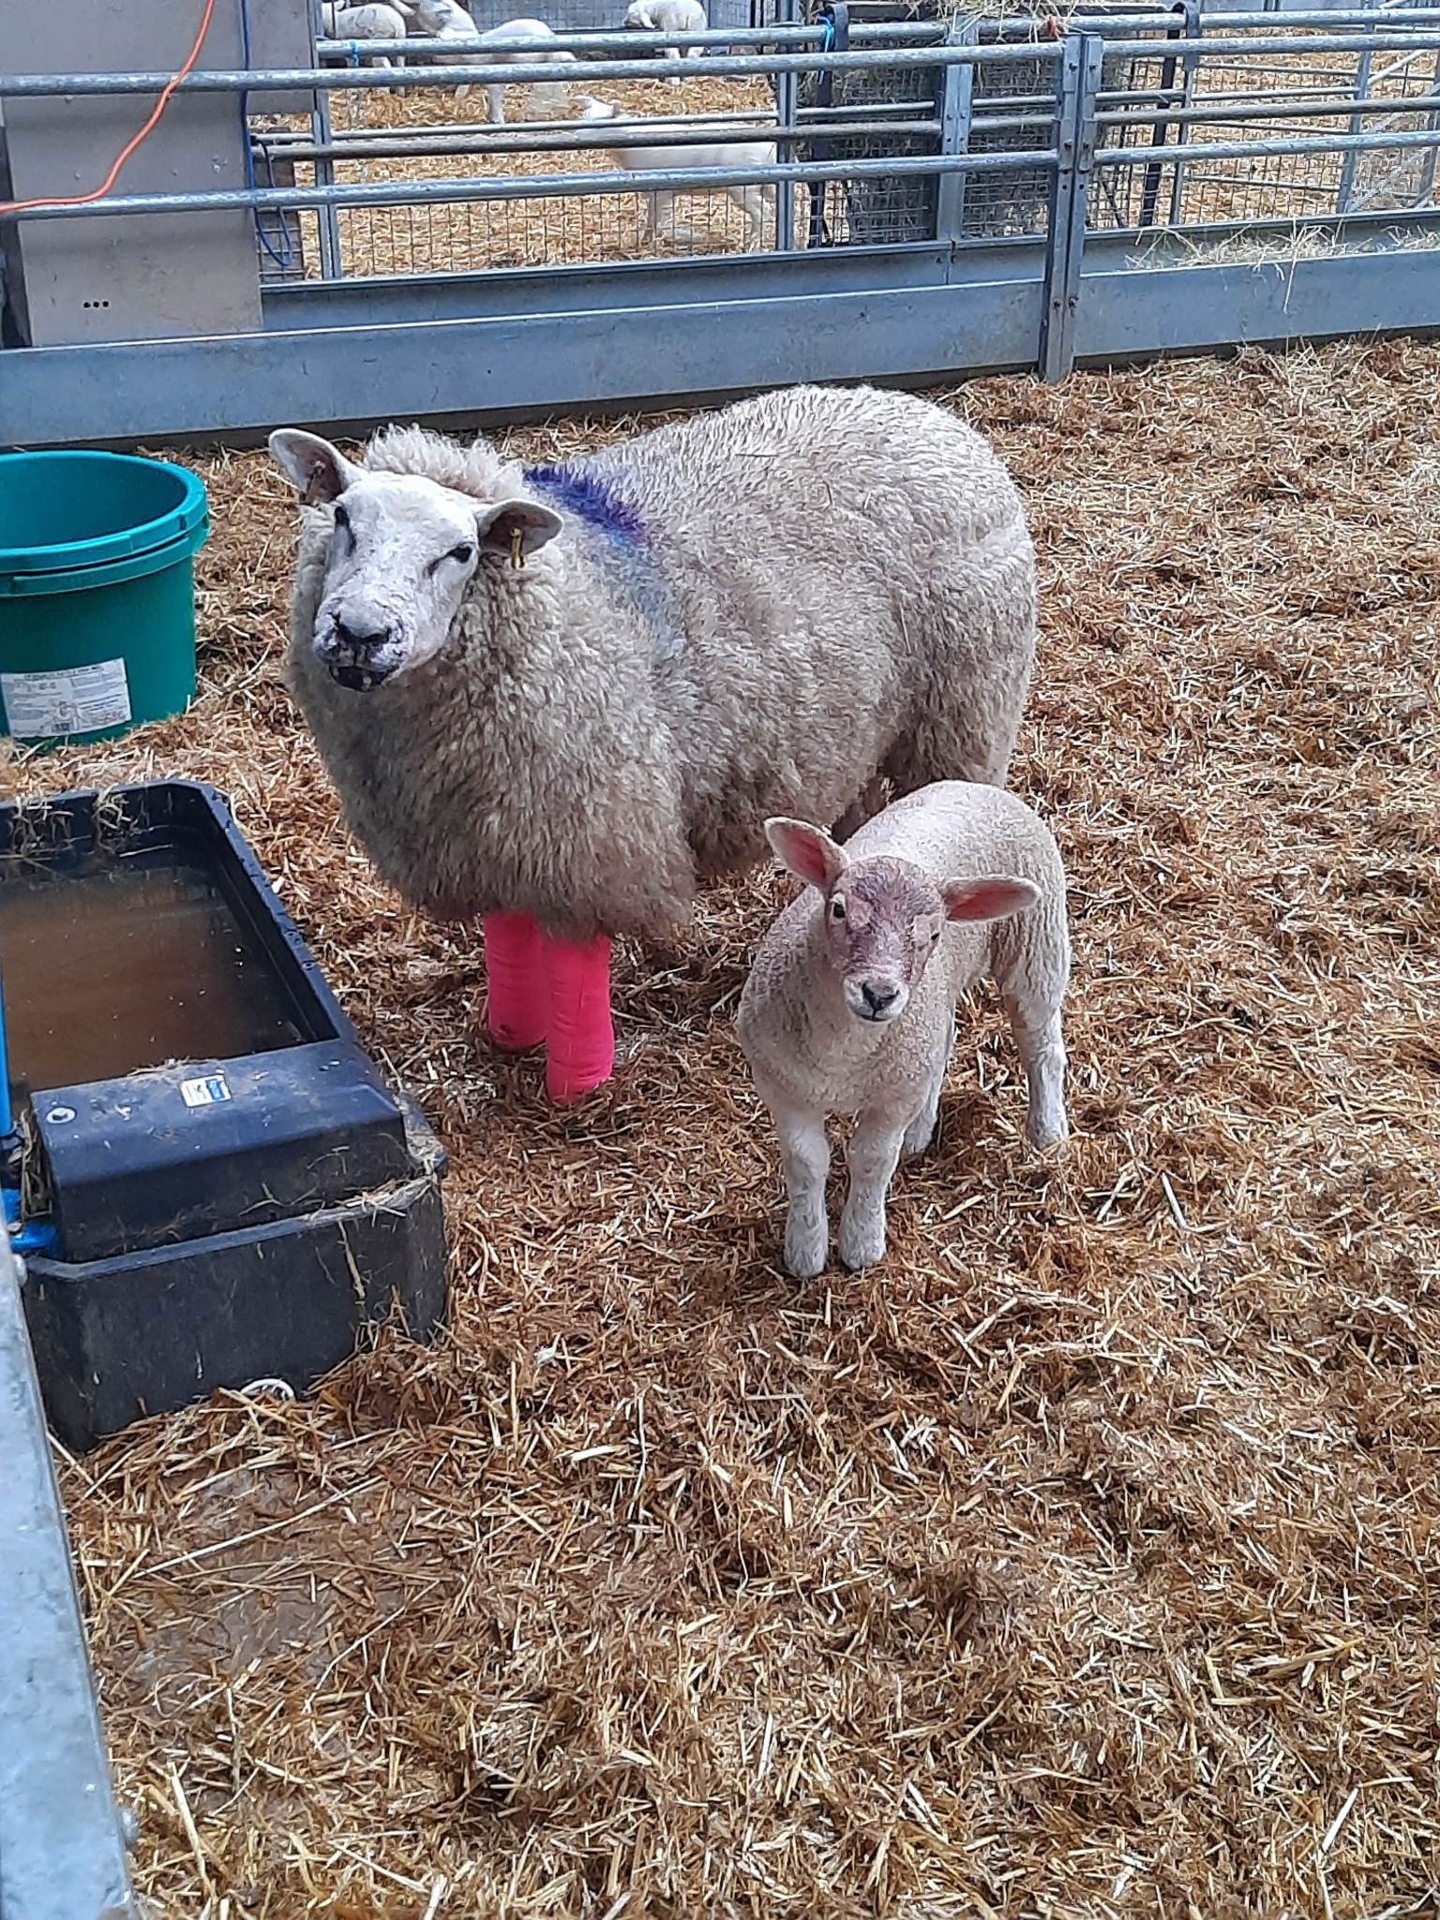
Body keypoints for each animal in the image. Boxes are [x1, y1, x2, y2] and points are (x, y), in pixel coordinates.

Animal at [267, 383, 1037, 1103]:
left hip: (960, 717)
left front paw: (577, 1088)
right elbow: (509, 935)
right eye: (342, 518)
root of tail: (934, 416)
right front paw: (510, 1033)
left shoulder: (592, 833)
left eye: (460, 553)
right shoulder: (496, 831)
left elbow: (575, 965)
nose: (359, 632)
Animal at [577, 94, 774, 246]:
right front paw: (645, 241)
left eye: (599, 123)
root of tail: (768, 149)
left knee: (762, 211)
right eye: (583, 117)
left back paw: (753, 243)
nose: (576, 135)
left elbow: (660, 221)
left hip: (744, 188)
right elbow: (651, 218)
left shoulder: (663, 192)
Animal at [737, 782, 1070, 1277]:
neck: (843, 1050)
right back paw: (921, 1130)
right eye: (838, 909)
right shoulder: (784, 1089)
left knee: (1042, 1046)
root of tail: (976, 787)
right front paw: (805, 1250)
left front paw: (861, 1243)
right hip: (934, 1009)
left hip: (1037, 945)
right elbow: (807, 1164)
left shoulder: (891, 1098)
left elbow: (872, 1161)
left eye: (933, 934)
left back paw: (1048, 1132)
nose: (879, 993)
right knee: (945, 1039)